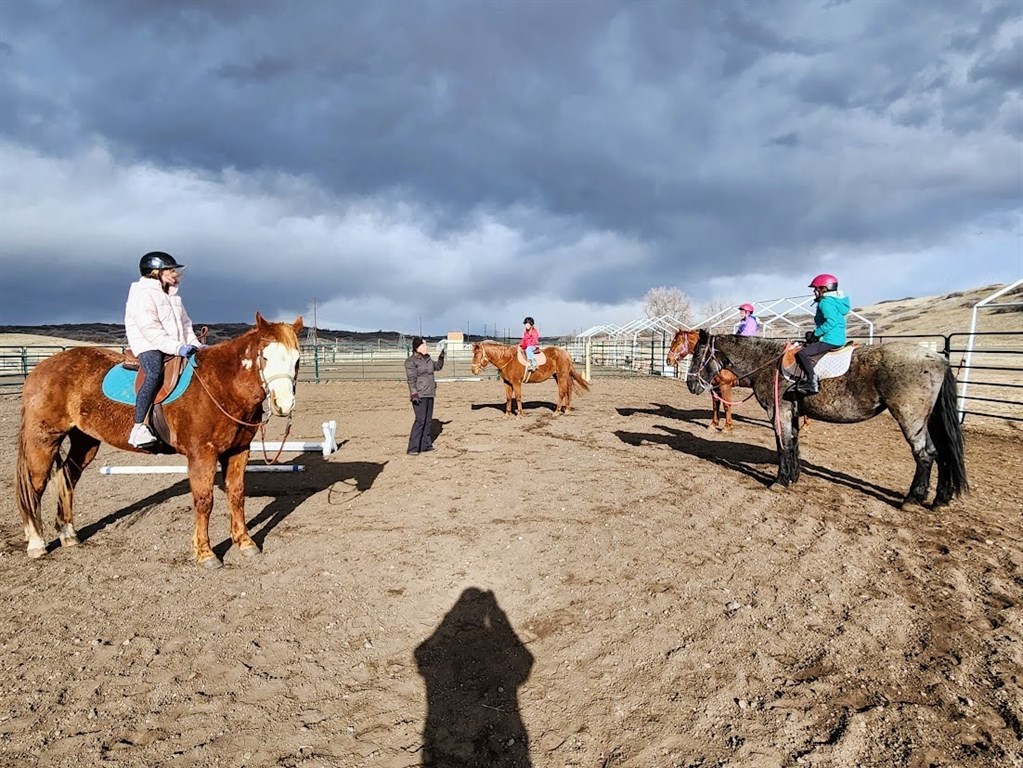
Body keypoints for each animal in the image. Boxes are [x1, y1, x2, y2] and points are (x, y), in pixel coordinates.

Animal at [15, 313, 304, 568]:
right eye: (265, 357)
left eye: (297, 360)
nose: (284, 404)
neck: (220, 386)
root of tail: (42, 368)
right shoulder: (202, 455)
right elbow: (204, 501)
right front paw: (205, 554)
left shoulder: (238, 451)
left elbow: (237, 495)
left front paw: (244, 542)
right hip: (44, 440)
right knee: (35, 486)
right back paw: (36, 543)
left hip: (85, 442)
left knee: (66, 478)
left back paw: (68, 534)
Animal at [684, 329, 968, 509]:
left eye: (698, 355)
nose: (690, 384)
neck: (767, 363)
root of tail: (937, 358)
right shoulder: (792, 413)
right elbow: (793, 444)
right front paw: (793, 477)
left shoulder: (778, 412)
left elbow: (783, 445)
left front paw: (780, 481)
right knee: (943, 453)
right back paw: (940, 499)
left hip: (910, 417)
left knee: (925, 454)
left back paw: (912, 499)